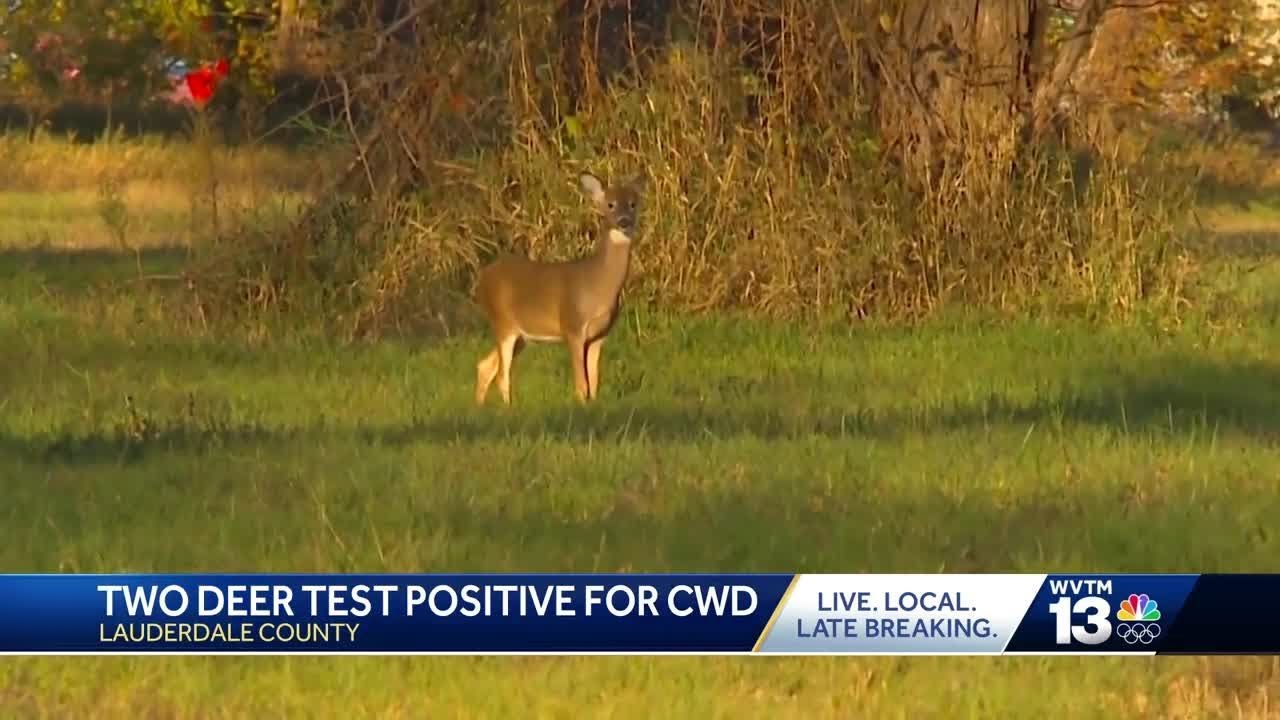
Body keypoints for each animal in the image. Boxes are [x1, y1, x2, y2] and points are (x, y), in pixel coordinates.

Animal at [473, 171, 644, 406]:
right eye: (610, 204)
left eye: (633, 203)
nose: (624, 222)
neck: (597, 285)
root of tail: (482, 278)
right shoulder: (572, 326)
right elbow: (581, 385)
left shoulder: (599, 335)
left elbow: (594, 382)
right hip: (502, 323)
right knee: (502, 376)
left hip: (521, 334)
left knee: (485, 366)